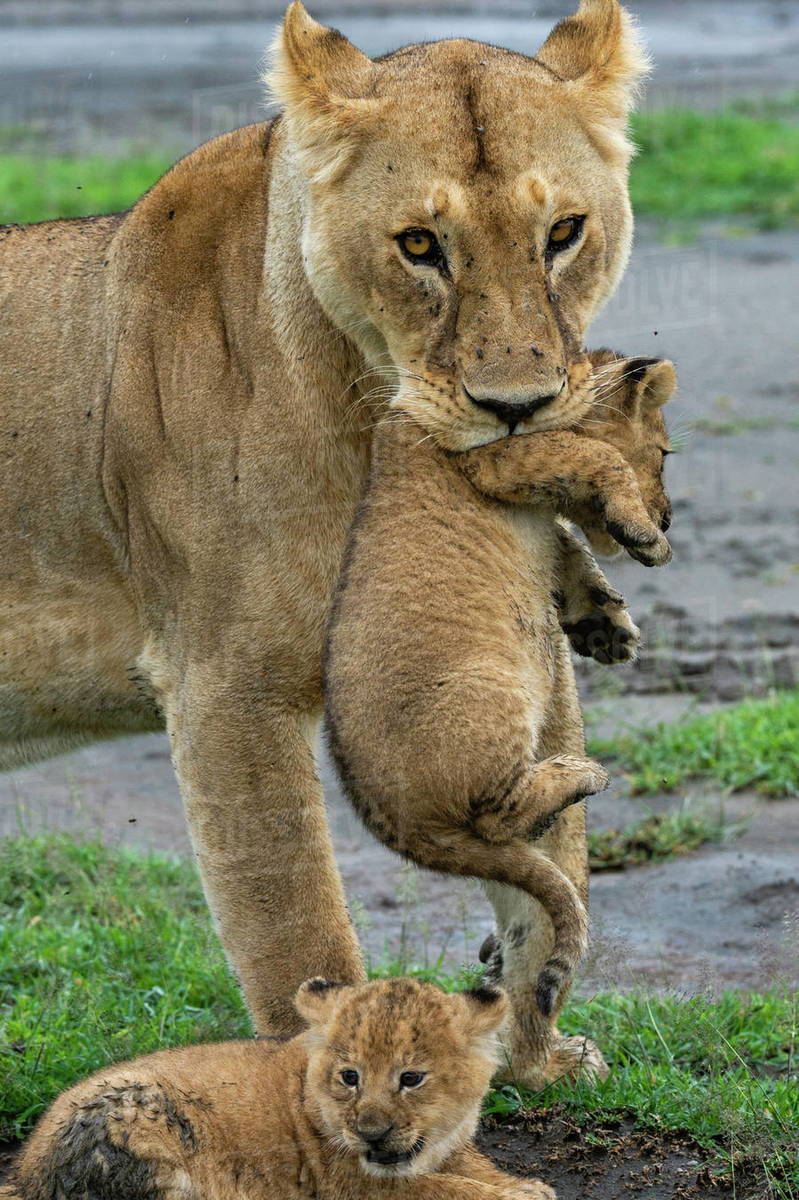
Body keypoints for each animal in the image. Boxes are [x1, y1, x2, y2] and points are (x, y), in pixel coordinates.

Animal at [2, 979, 554, 1200]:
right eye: (350, 1077)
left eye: (411, 1079)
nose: (371, 1135)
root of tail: (24, 1172)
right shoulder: (350, 1186)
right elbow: (441, 1188)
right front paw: (521, 1195)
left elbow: (471, 1168)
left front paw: (522, 1184)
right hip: (139, 1118)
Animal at [324, 351, 674, 1077]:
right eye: (663, 452)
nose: (672, 518)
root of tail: (401, 827)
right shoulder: (491, 457)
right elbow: (594, 456)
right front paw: (641, 535)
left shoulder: (533, 501)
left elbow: (568, 540)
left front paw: (607, 627)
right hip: (493, 687)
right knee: (496, 812)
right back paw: (581, 773)